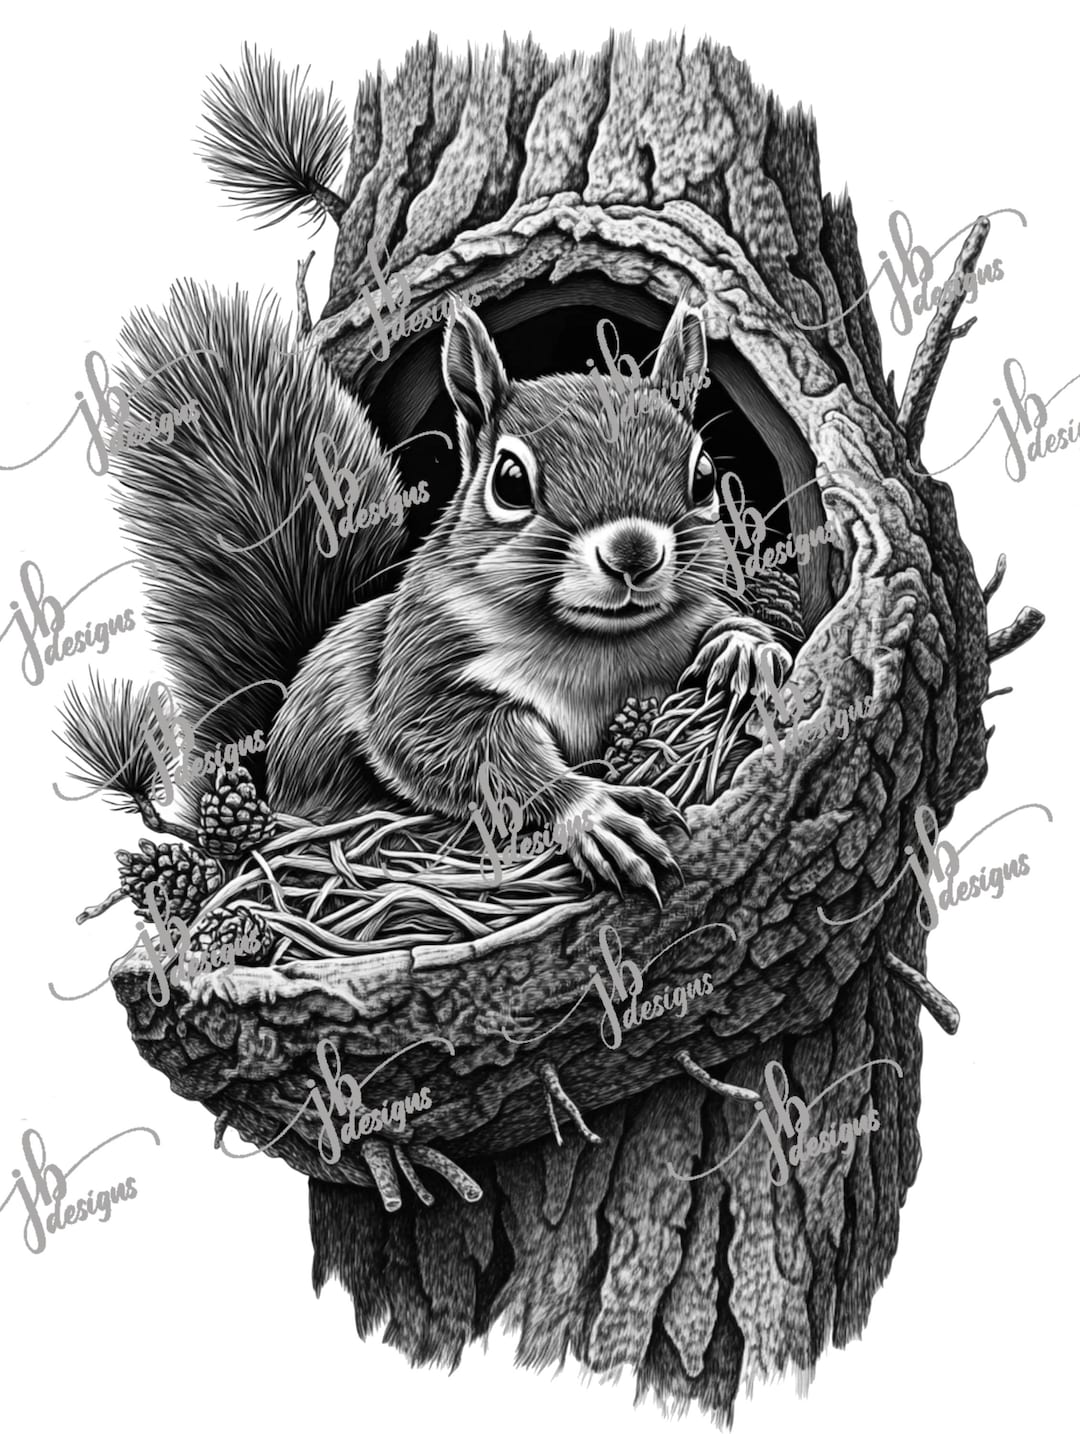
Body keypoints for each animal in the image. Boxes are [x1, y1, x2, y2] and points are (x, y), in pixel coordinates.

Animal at [110, 285, 791, 900]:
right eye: (510, 480)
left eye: (703, 475)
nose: (633, 553)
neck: (596, 645)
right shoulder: (419, 661)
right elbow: (445, 744)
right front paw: (594, 811)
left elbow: (718, 623)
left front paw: (745, 646)